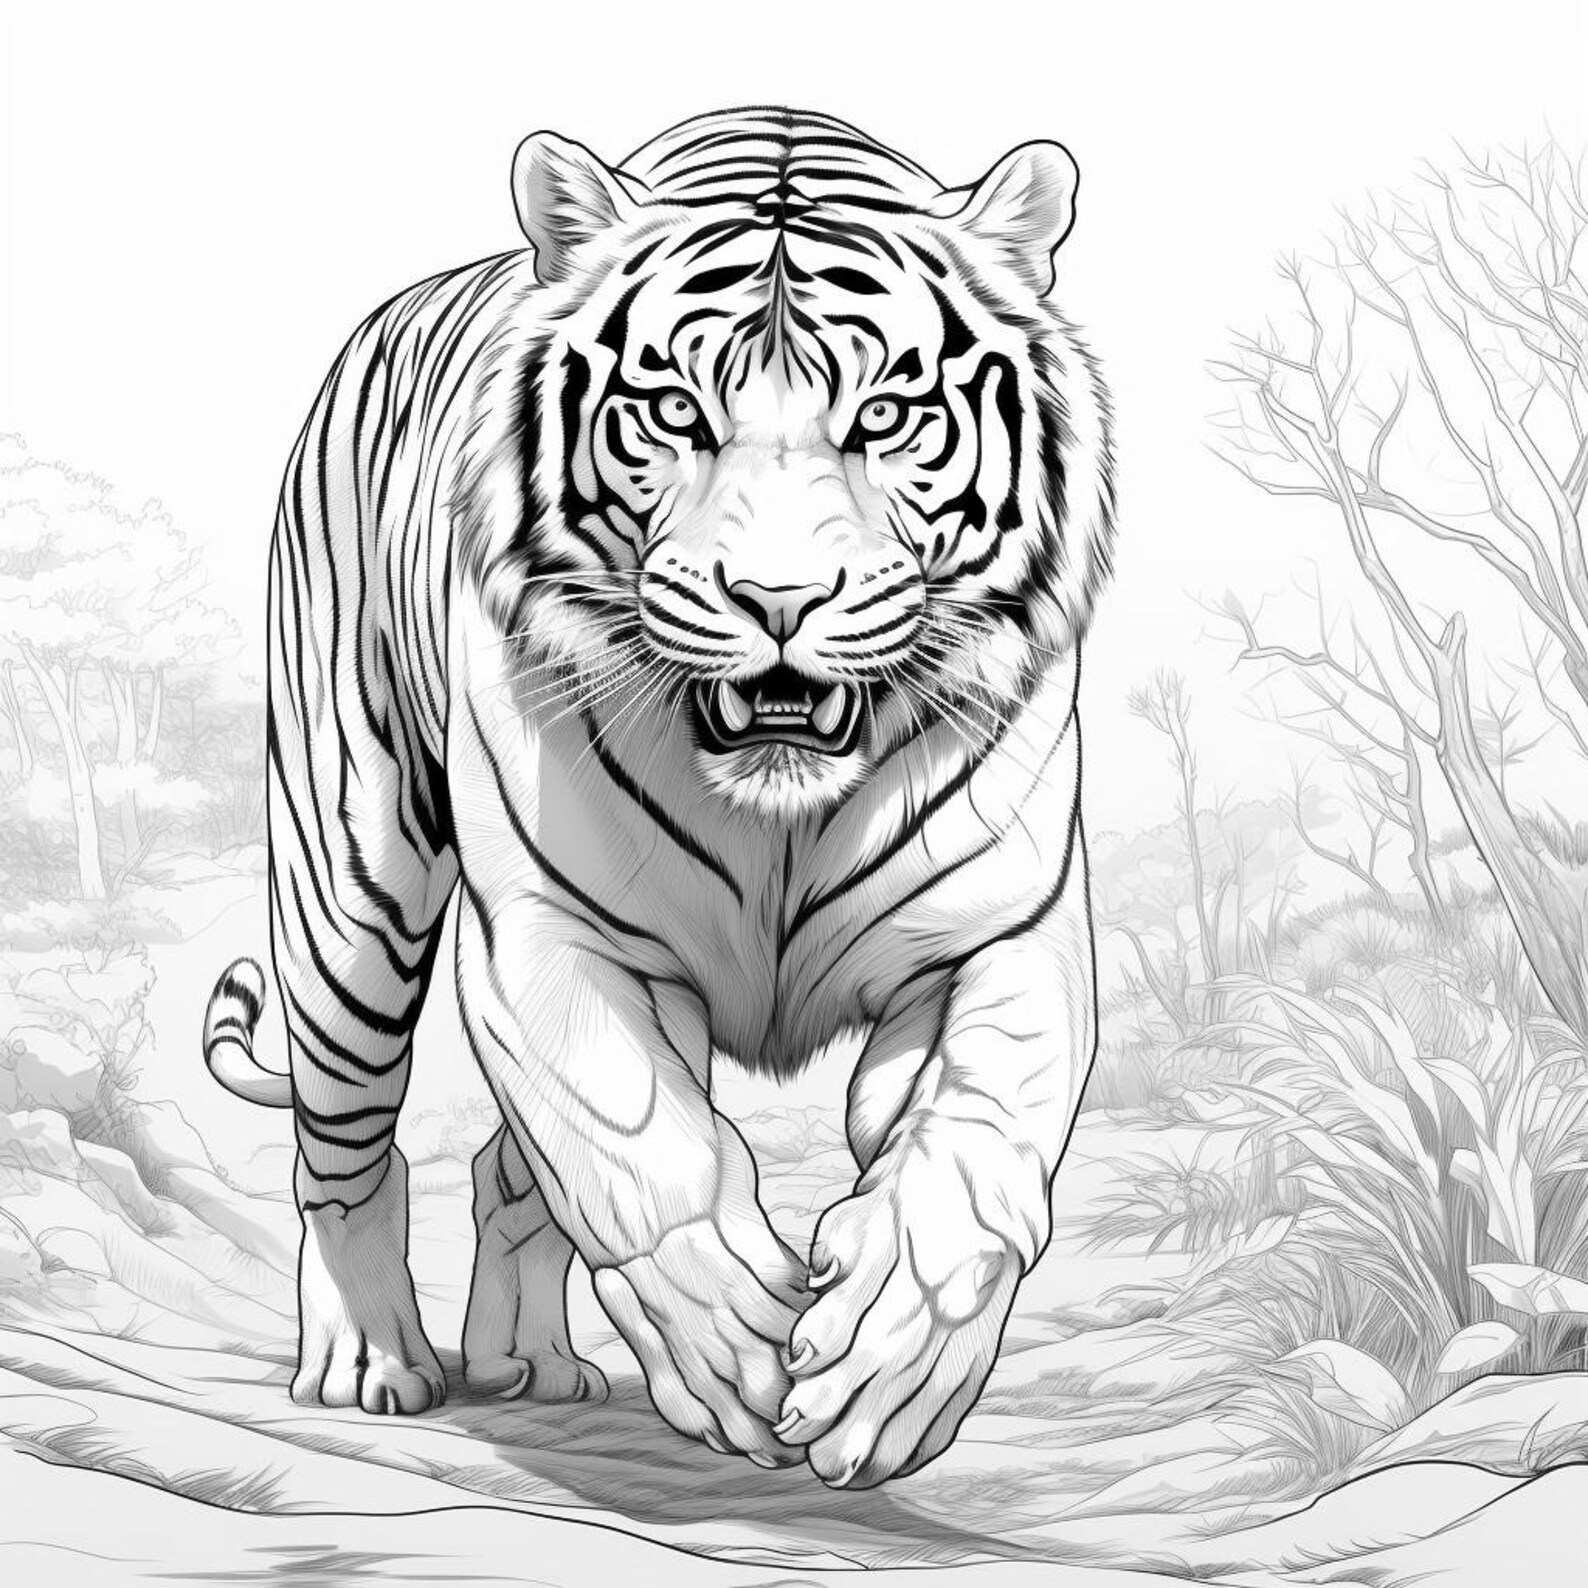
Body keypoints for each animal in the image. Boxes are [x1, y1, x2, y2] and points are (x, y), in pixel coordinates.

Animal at [202, 105, 1115, 1490]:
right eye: (674, 410)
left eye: (887, 415)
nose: (778, 600)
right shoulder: (550, 935)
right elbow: (633, 1139)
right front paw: (736, 1340)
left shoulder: (1001, 934)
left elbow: (973, 1140)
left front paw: (886, 1362)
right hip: (349, 890)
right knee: (344, 1147)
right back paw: (371, 1360)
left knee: (504, 1169)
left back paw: (534, 1362)